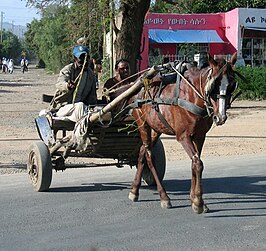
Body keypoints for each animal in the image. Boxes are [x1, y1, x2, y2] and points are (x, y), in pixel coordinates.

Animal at [107, 53, 238, 214]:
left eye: (232, 84)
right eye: (215, 84)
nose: (220, 117)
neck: (192, 96)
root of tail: (138, 87)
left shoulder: (200, 136)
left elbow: (195, 162)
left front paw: (193, 198)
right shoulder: (183, 136)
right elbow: (198, 163)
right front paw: (198, 202)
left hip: (155, 127)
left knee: (143, 151)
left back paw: (134, 190)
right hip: (142, 123)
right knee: (149, 155)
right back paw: (164, 197)